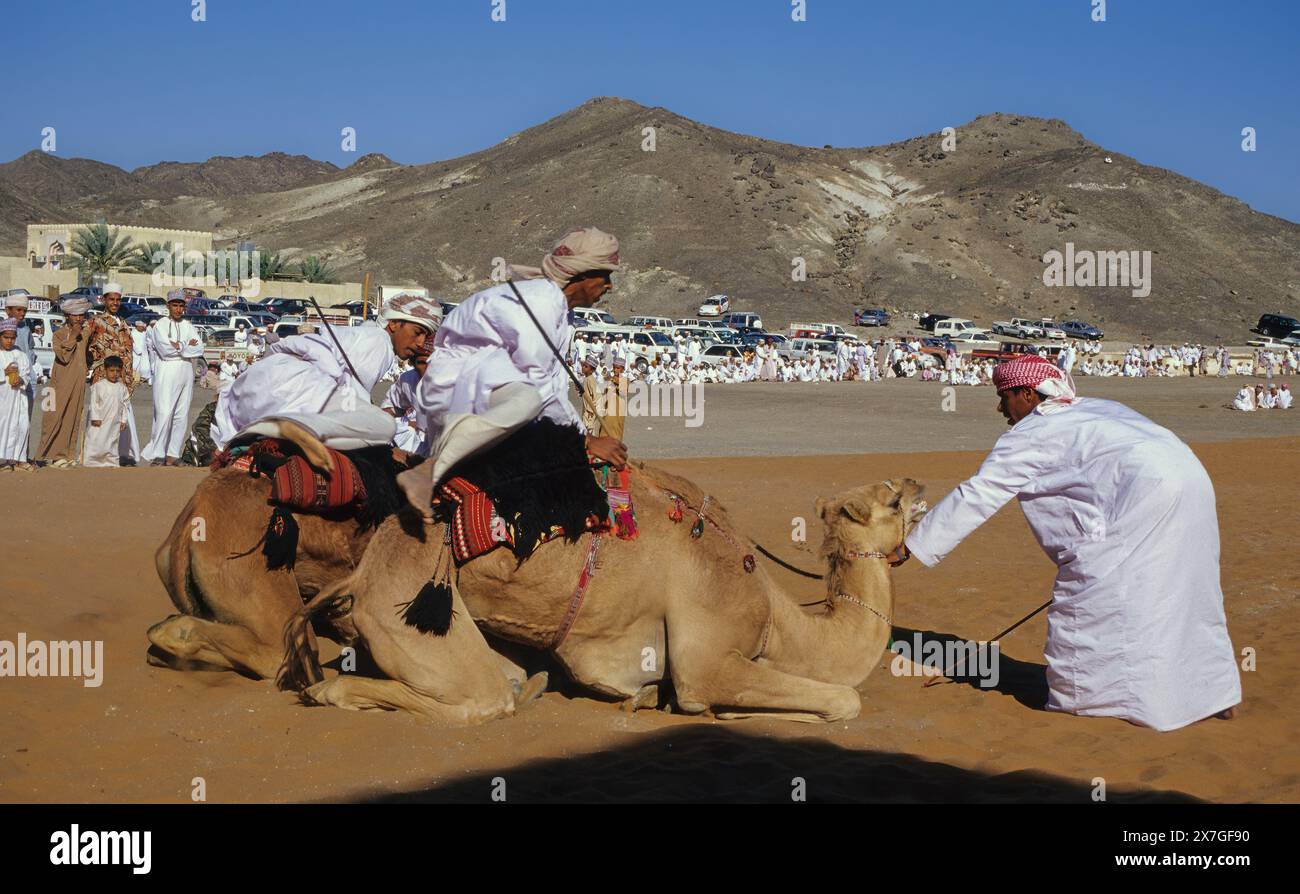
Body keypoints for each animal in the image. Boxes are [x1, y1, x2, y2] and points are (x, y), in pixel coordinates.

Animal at [280, 456, 926, 723]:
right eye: (893, 500)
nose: (919, 483)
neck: (778, 618)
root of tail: (364, 569)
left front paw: (646, 698)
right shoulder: (708, 654)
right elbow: (843, 700)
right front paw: (717, 711)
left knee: (508, 681)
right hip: (413, 611)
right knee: (481, 700)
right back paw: (324, 692)